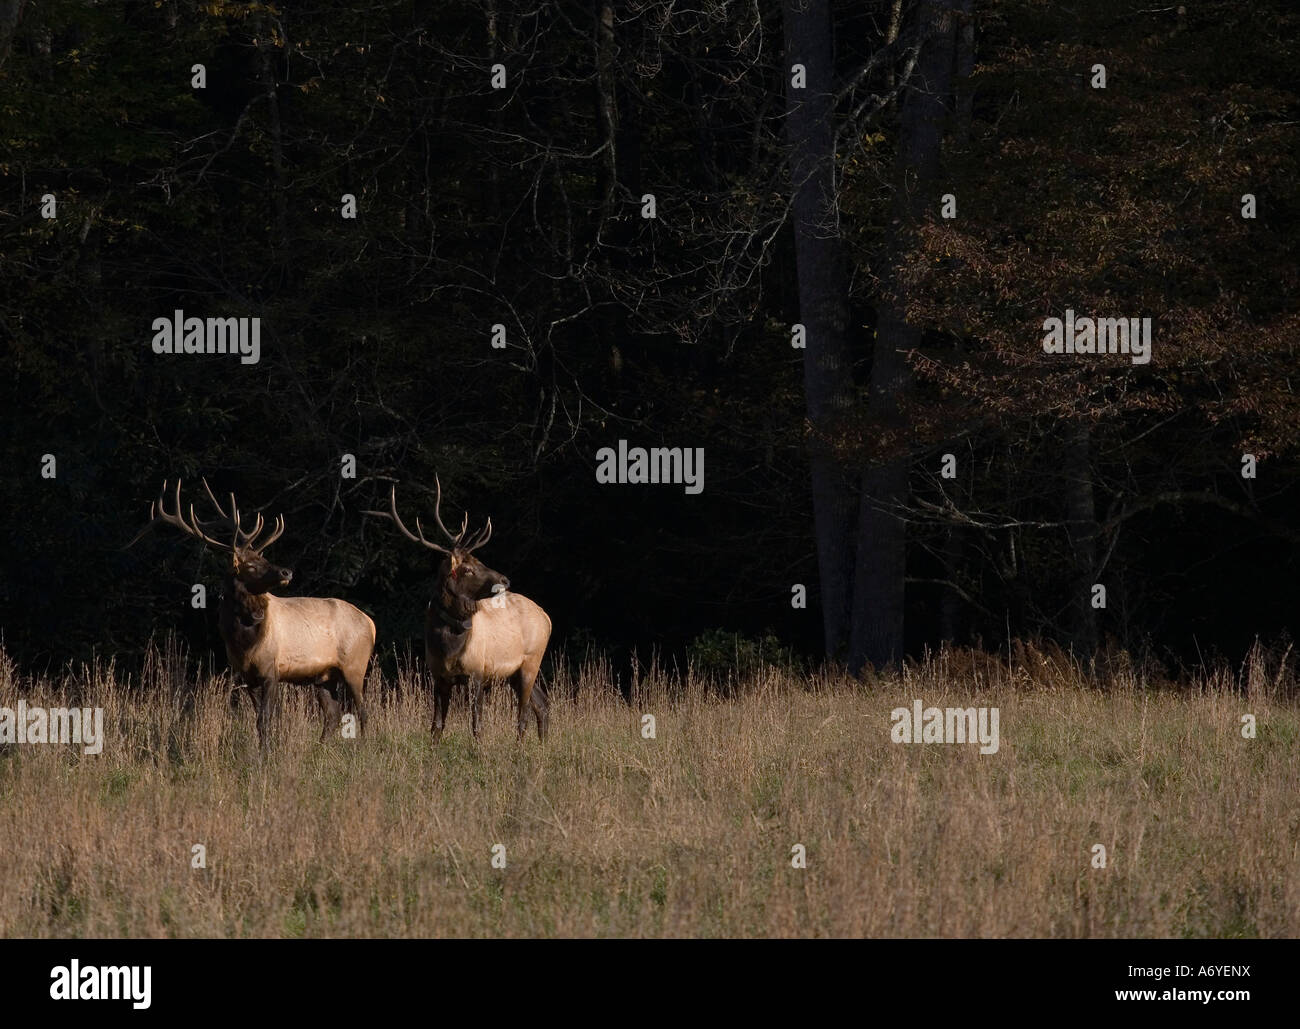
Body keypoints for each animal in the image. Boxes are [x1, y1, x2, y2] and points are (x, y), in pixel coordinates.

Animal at [132, 480, 376, 749]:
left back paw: (365, 746)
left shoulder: (272, 670)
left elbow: (265, 718)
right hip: (324, 675)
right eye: (250, 565)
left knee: (363, 711)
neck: (244, 642)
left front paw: (266, 753)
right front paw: (264, 749)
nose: (287, 572)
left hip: (355, 665)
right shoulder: (246, 675)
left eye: (263, 557)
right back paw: (320, 748)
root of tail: (370, 623)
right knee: (332, 714)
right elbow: (259, 721)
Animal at [369, 479, 551, 743]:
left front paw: (479, 750)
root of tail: (546, 617)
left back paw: (521, 747)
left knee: (524, 713)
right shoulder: (438, 676)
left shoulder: (477, 673)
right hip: (515, 672)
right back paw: (542, 744)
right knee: (542, 704)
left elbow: (476, 725)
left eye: (478, 560)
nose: (505, 580)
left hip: (531, 660)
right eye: (467, 569)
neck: (449, 648)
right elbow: (436, 725)